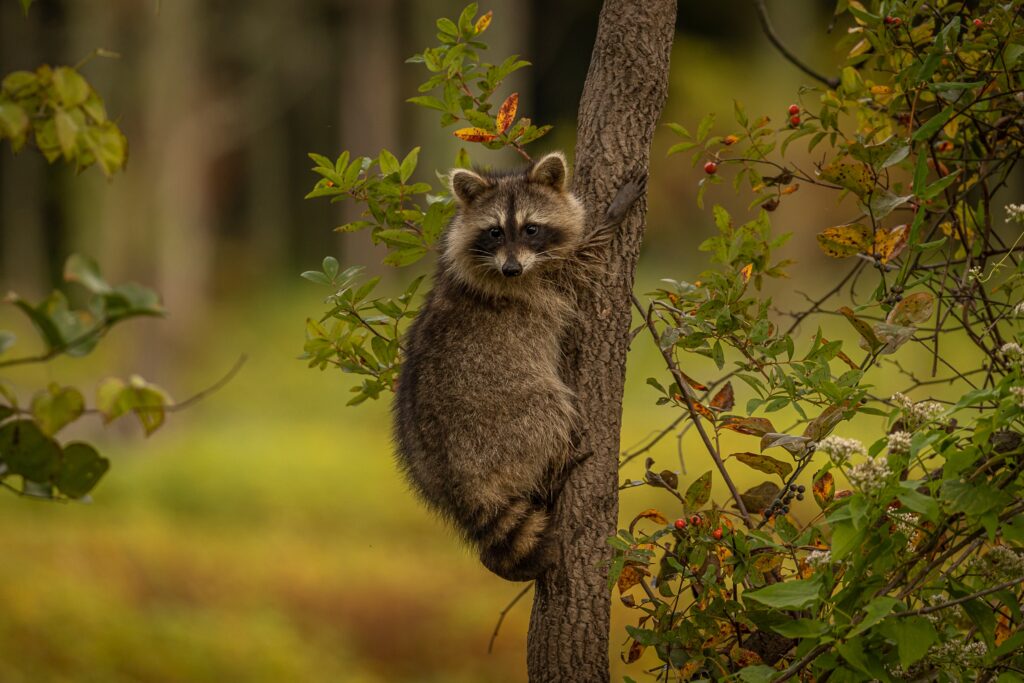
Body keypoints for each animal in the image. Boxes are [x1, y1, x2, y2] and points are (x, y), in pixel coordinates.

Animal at [393, 152, 642, 581]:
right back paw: (555, 472)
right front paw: (613, 215)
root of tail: (462, 486)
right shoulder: (542, 284)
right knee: (549, 407)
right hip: (505, 421)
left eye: (531, 229)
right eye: (494, 232)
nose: (511, 269)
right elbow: (586, 262)